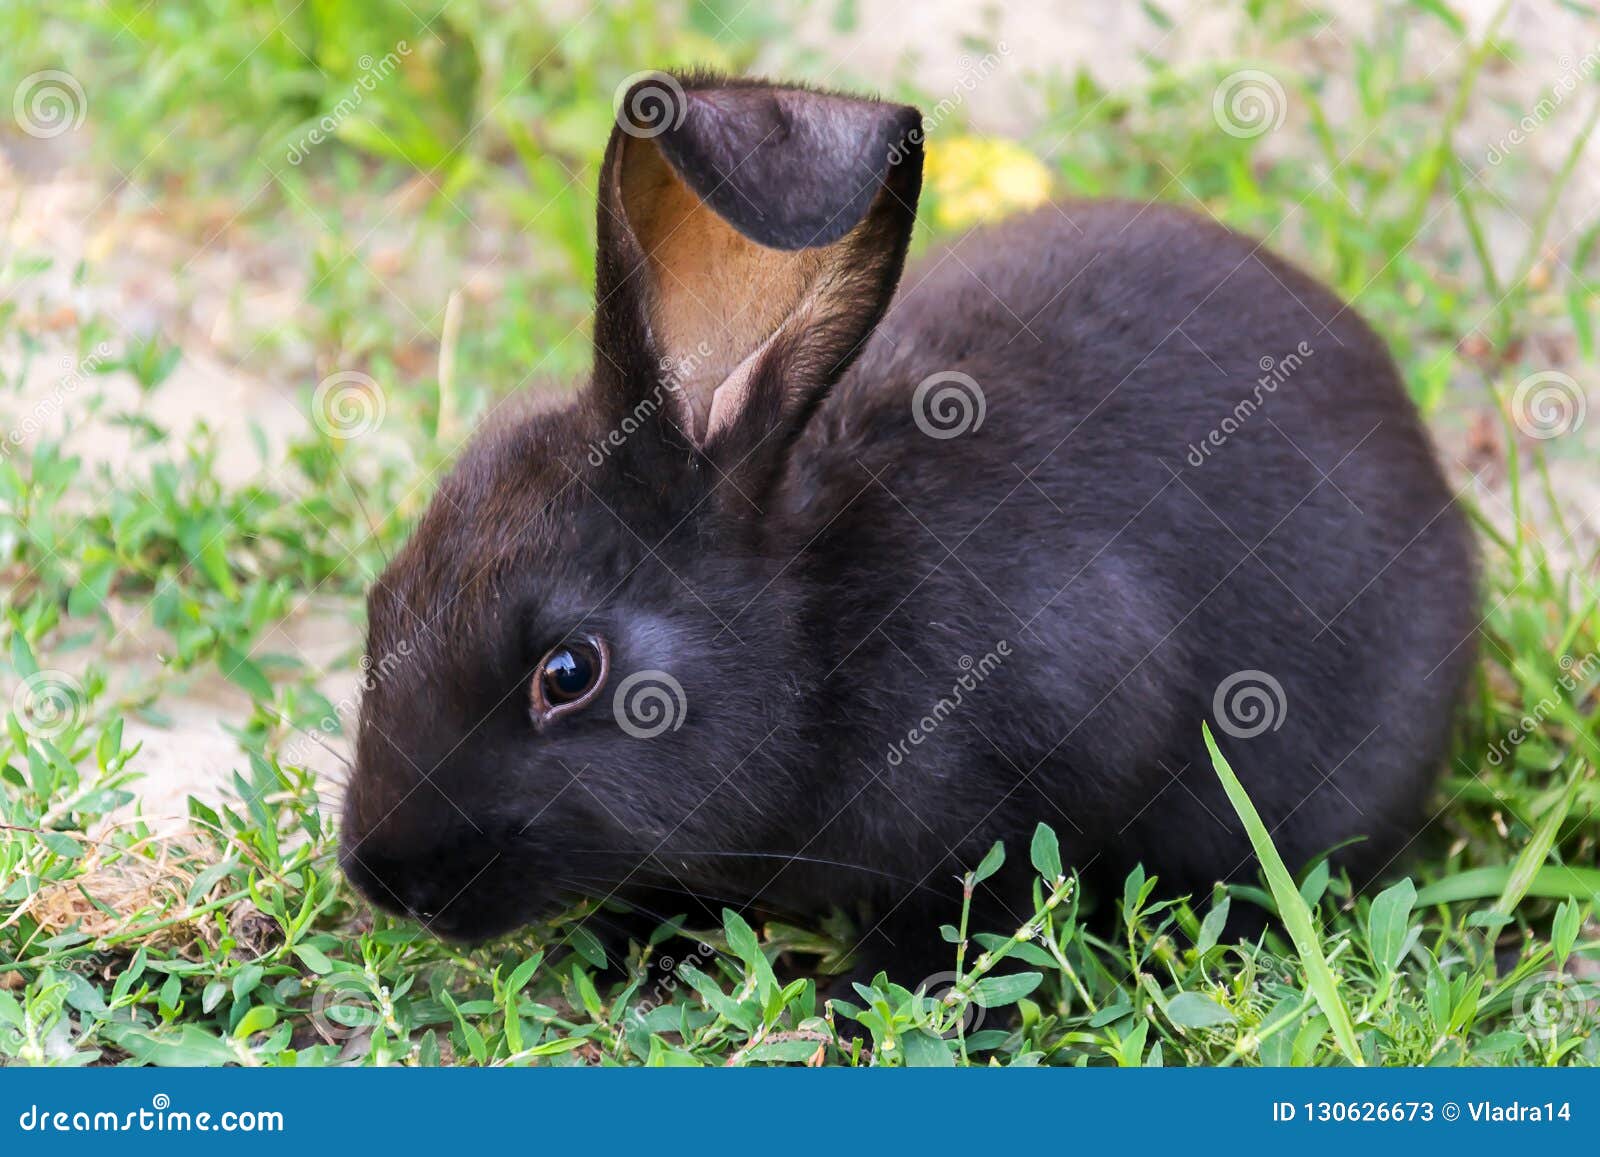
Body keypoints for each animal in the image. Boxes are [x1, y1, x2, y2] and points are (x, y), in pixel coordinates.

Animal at [339, 71, 1478, 981]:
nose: (383, 876)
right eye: (380, 602)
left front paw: (854, 1010)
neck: (817, 647)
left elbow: (968, 924)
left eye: (569, 672)